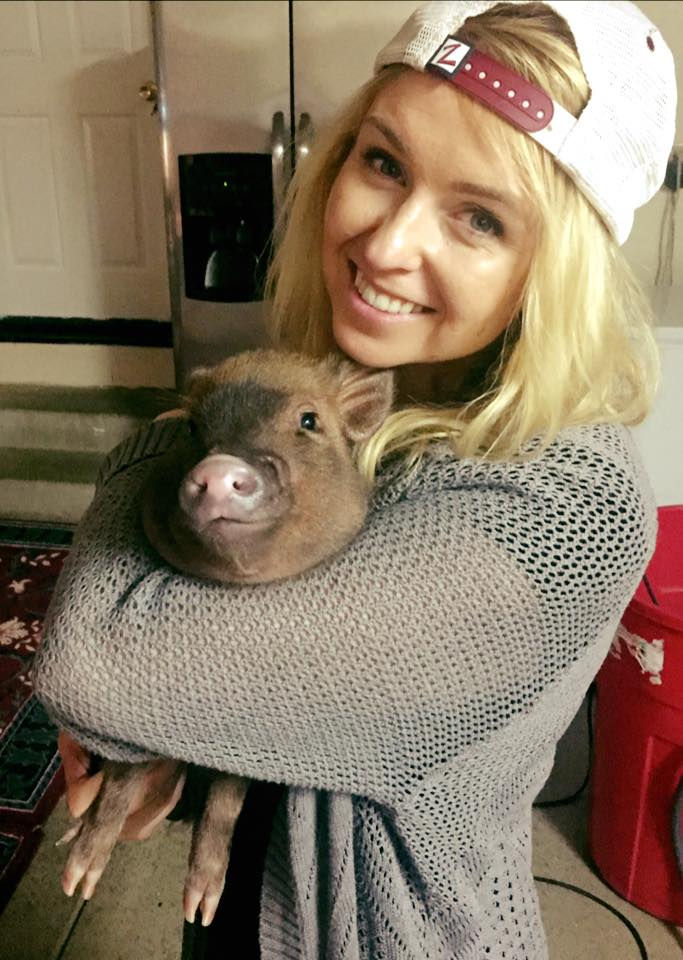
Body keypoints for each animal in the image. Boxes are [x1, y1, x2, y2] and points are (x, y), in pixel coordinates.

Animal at [58, 348, 394, 927]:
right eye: (194, 427)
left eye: (309, 420)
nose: (218, 470)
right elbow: (121, 783)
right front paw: (76, 882)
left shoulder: (250, 746)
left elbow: (225, 803)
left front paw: (200, 908)